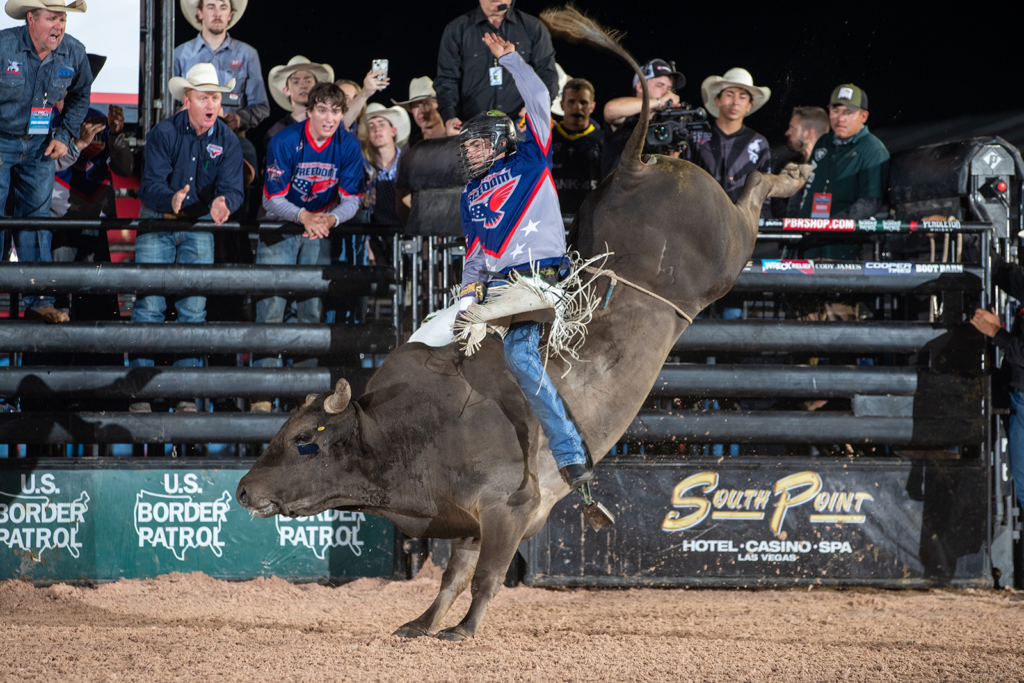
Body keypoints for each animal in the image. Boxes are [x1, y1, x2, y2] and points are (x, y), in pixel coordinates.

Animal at [236, 6, 810, 641]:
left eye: (305, 442)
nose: (243, 489)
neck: (403, 435)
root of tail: (632, 166)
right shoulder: (464, 520)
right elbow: (451, 577)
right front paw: (421, 624)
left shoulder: (508, 509)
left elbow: (484, 577)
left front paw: (462, 630)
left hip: (724, 256)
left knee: (750, 197)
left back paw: (789, 174)